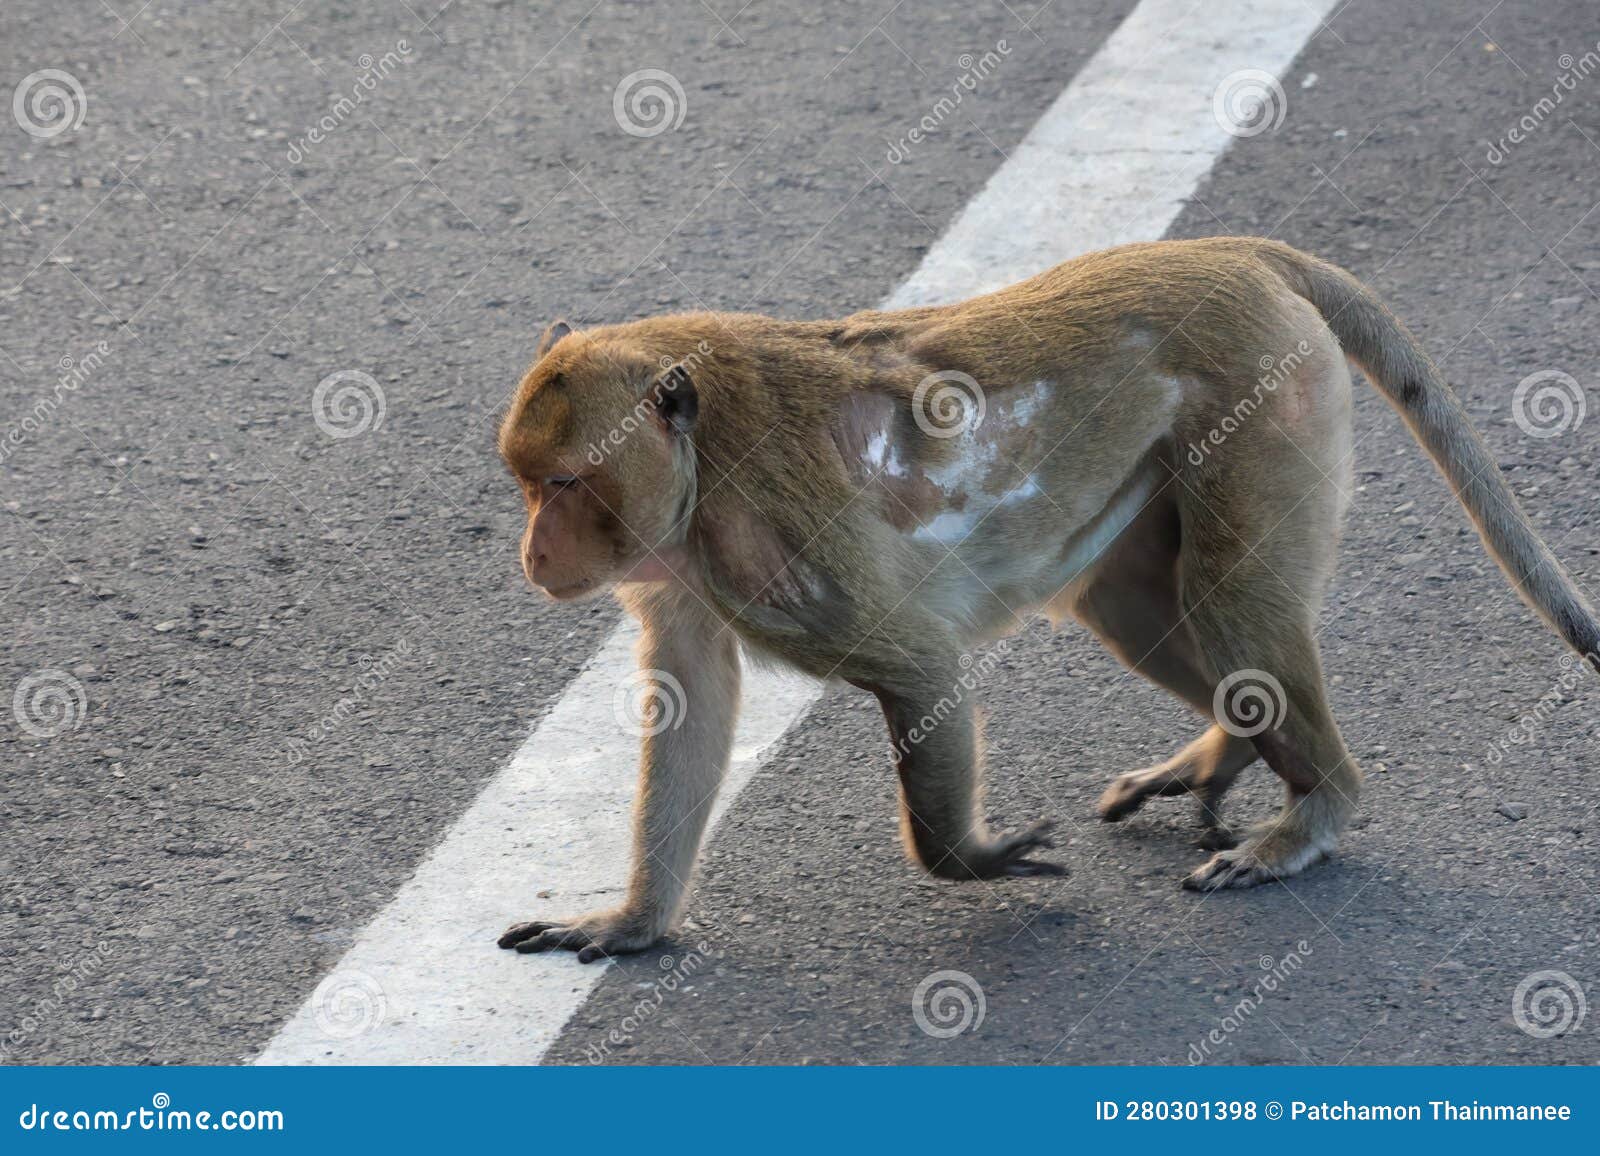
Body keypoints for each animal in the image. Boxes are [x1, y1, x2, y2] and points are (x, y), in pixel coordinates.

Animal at [495, 235, 1600, 962]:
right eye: (526, 482)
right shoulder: (685, 569)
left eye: (567, 484)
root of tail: (1235, 250)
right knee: (1136, 607)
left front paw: (971, 857)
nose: (532, 554)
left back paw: (1317, 805)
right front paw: (633, 923)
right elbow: (690, 695)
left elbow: (918, 667)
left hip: (1268, 405)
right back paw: (1229, 748)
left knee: (1231, 595)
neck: (702, 455)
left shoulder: (777, 546)